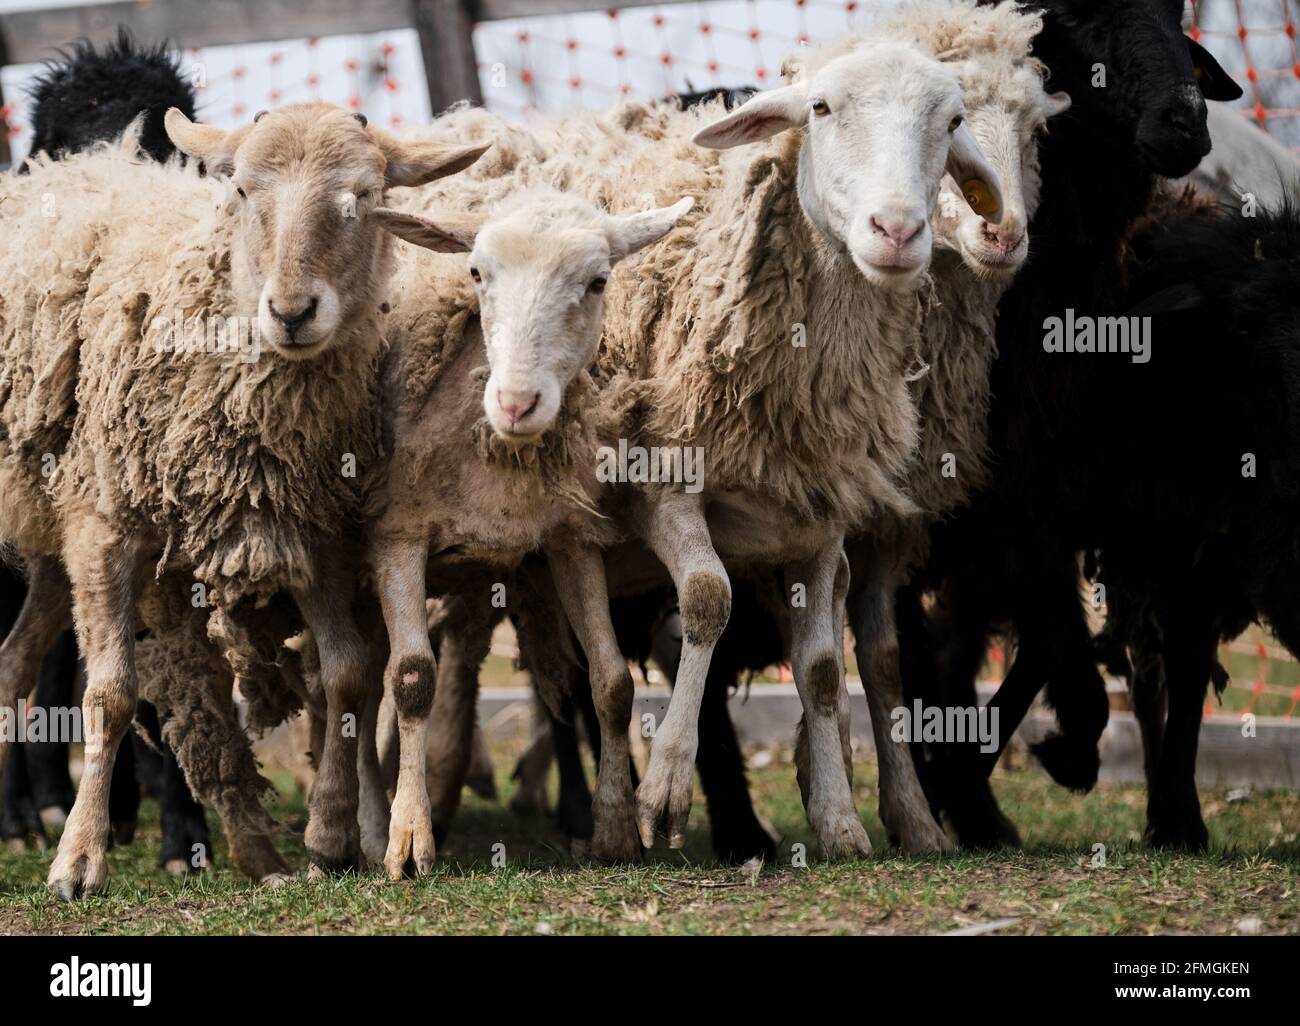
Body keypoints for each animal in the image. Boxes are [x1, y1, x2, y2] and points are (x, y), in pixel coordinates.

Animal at [0, 104, 488, 898]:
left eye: (362, 198)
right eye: (241, 193)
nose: (291, 311)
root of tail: (61, 166)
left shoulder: (312, 531)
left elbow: (347, 673)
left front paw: (329, 835)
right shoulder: (105, 529)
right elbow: (109, 695)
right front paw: (78, 860)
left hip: (54, 535)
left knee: (14, 658)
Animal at [892, 0, 1243, 848]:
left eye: (1178, 13)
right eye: (1082, 19)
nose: (1185, 119)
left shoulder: (1054, 491)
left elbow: (1048, 653)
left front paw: (1010, 771)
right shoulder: (1004, 503)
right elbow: (1053, 657)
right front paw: (1053, 755)